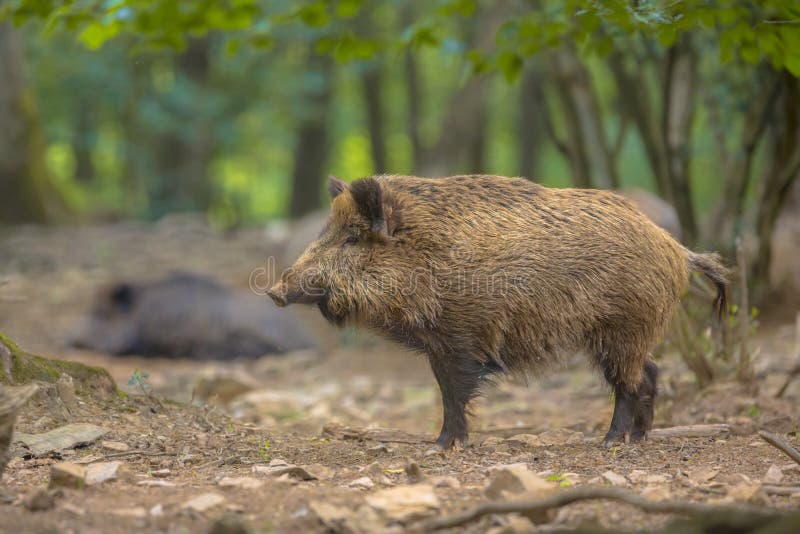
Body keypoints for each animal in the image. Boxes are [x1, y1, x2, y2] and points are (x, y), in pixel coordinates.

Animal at [268, 175, 728, 449]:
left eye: (351, 237)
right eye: (326, 231)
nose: (274, 291)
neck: (424, 256)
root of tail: (678, 250)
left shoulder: (460, 340)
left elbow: (454, 394)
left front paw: (442, 447)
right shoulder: (441, 344)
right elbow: (446, 393)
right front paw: (443, 444)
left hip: (623, 329)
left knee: (630, 384)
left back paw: (610, 442)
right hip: (625, 335)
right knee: (649, 373)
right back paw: (638, 438)